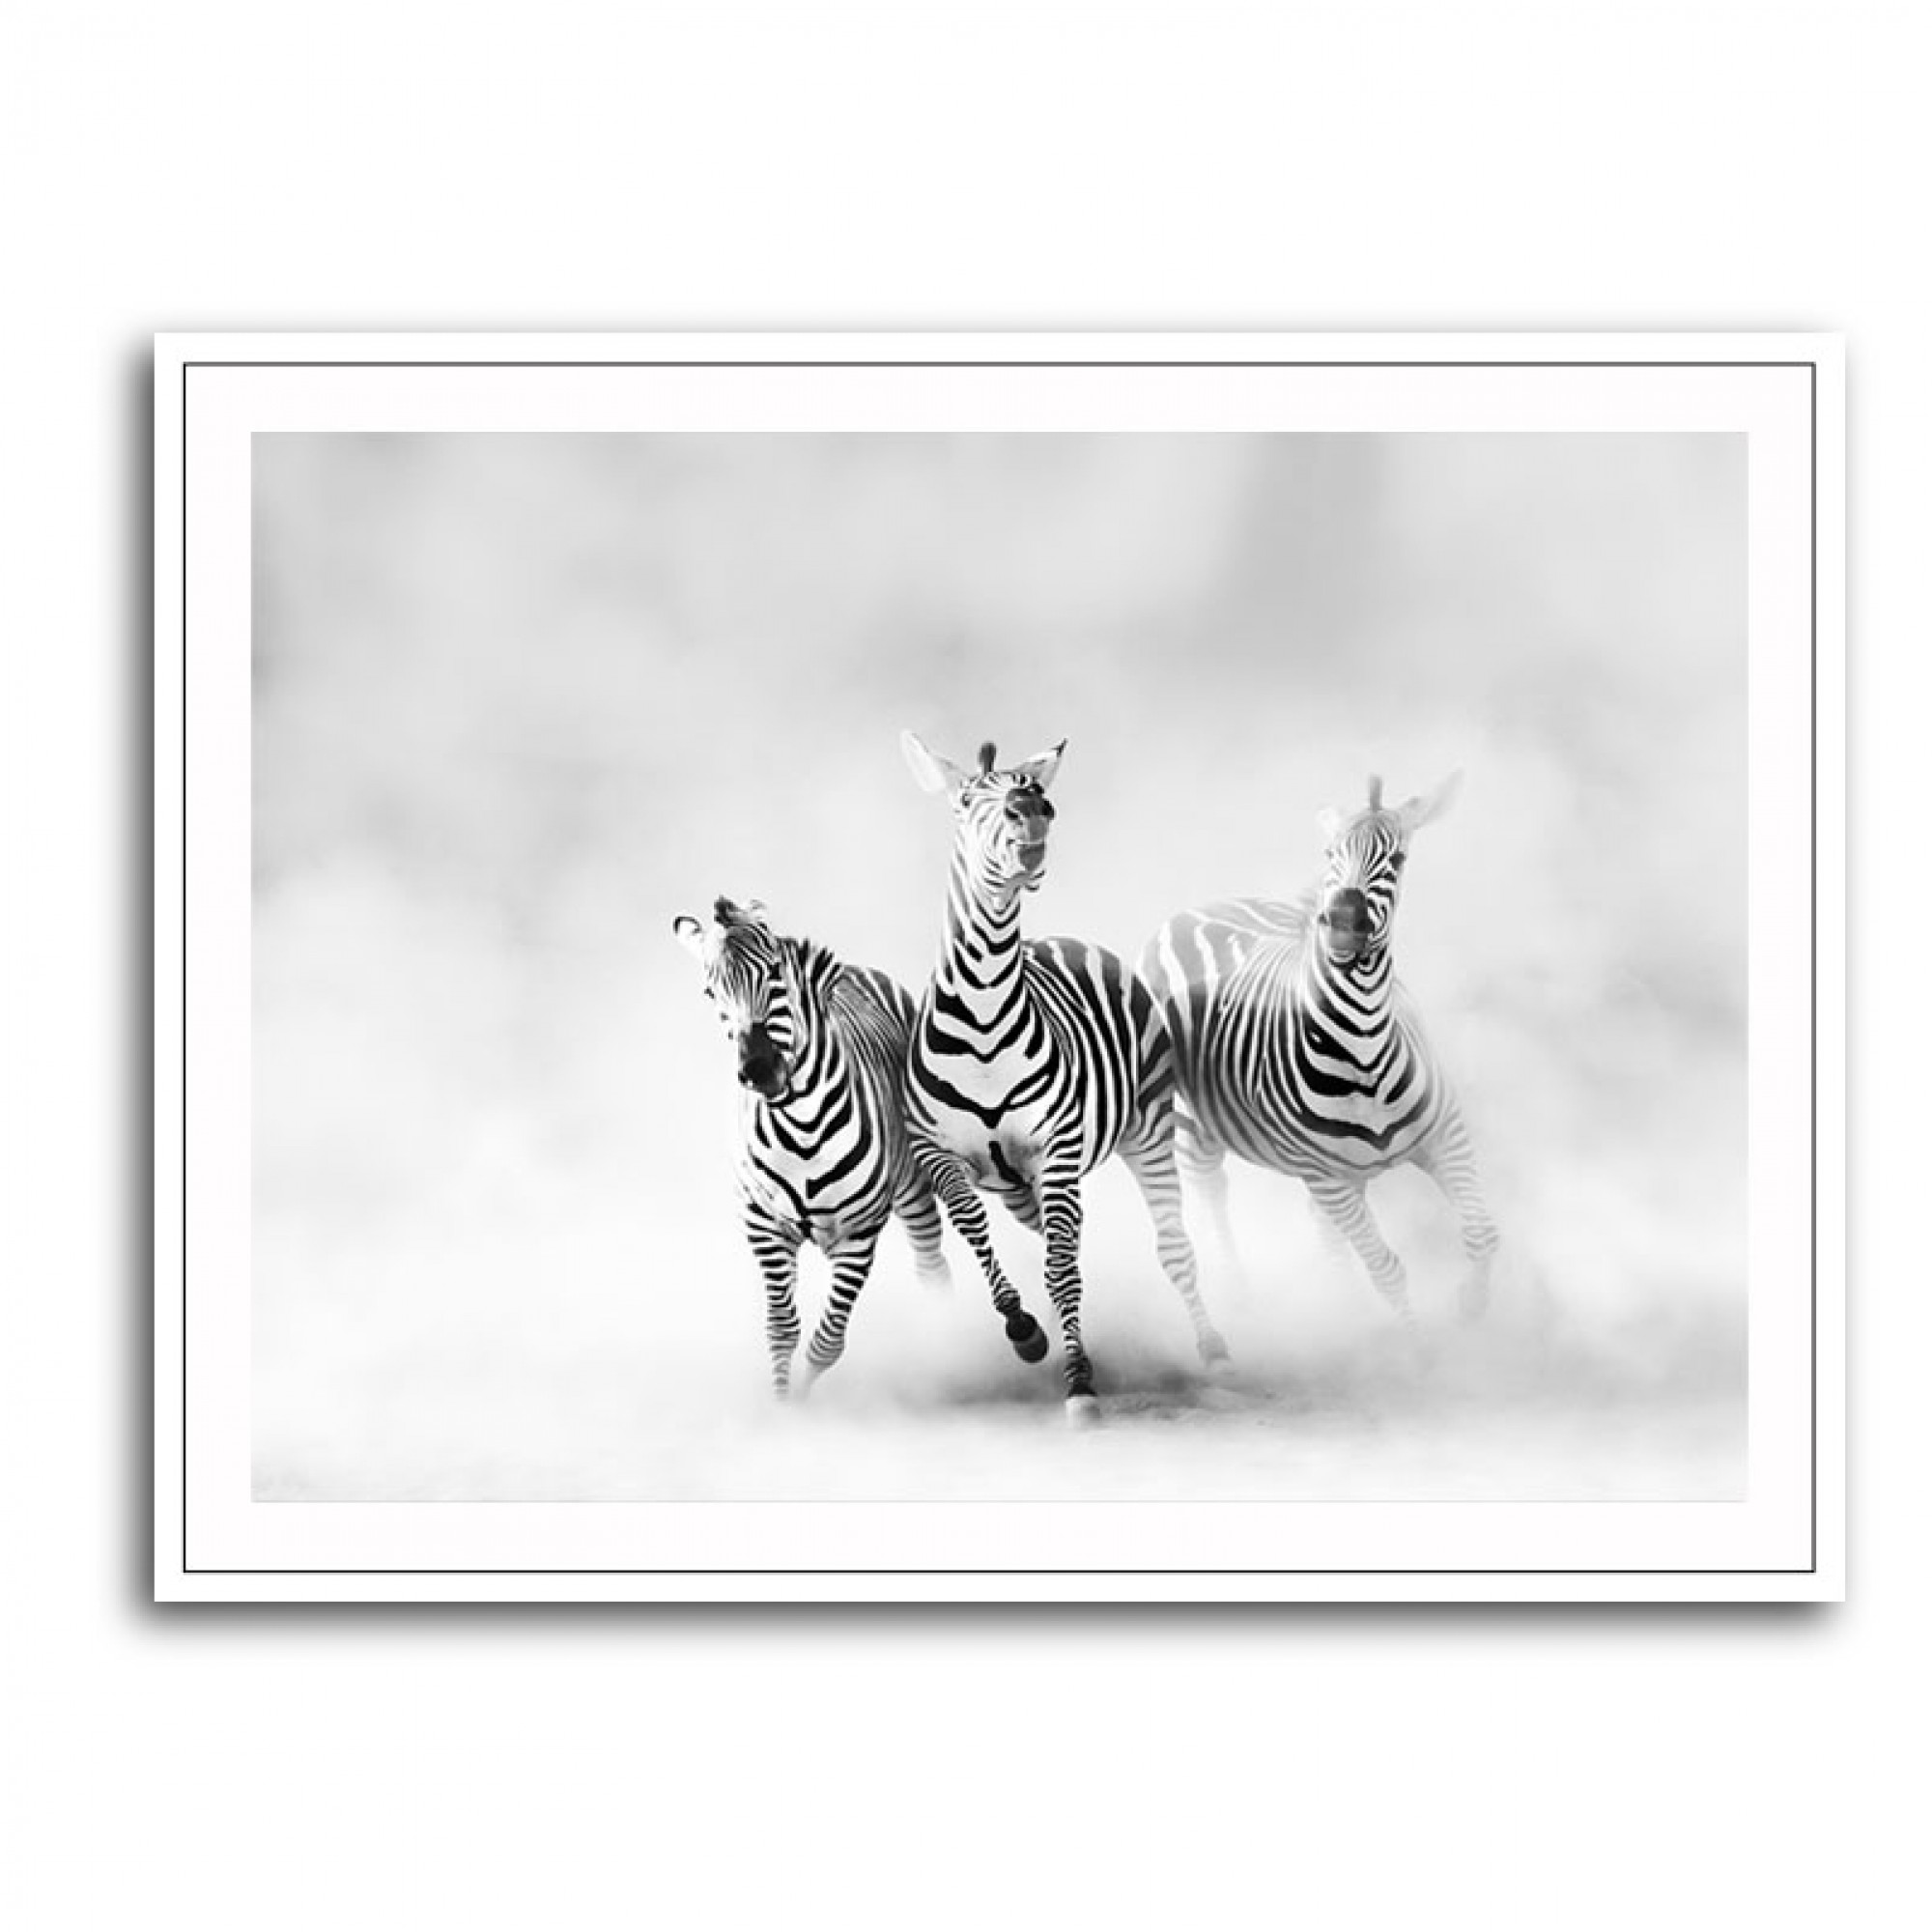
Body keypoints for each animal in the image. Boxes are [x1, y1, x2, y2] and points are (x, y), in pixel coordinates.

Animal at [673, 895, 951, 1399]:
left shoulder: (860, 1230)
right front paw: (785, 1405)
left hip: (913, 1188)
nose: (759, 1070)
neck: (801, 1127)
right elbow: (781, 1329)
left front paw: (803, 1400)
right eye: (710, 993)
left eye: (775, 974)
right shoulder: (763, 1224)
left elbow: (827, 1342)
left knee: (932, 1266)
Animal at [900, 732, 1228, 1422]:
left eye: (1036, 792)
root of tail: (1068, 939)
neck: (984, 1016)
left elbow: (1060, 1269)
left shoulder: (1055, 1149)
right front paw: (1026, 1332)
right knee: (1059, 1237)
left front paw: (1080, 1381)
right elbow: (979, 1235)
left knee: (1170, 1244)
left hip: (1146, 1130)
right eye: (965, 800)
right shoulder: (941, 1155)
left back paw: (1213, 1349)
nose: (1033, 813)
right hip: (1019, 1183)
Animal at [1143, 772, 1499, 1324]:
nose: (1342, 921)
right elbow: (1387, 1270)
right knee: (1209, 1188)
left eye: (1398, 859)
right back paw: (1242, 1297)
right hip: (1191, 1120)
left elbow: (1481, 1233)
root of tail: (1202, 907)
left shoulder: (1445, 1135)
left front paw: (1474, 1309)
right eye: (1331, 852)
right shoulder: (1324, 1174)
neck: (1365, 1045)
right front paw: (1420, 1344)